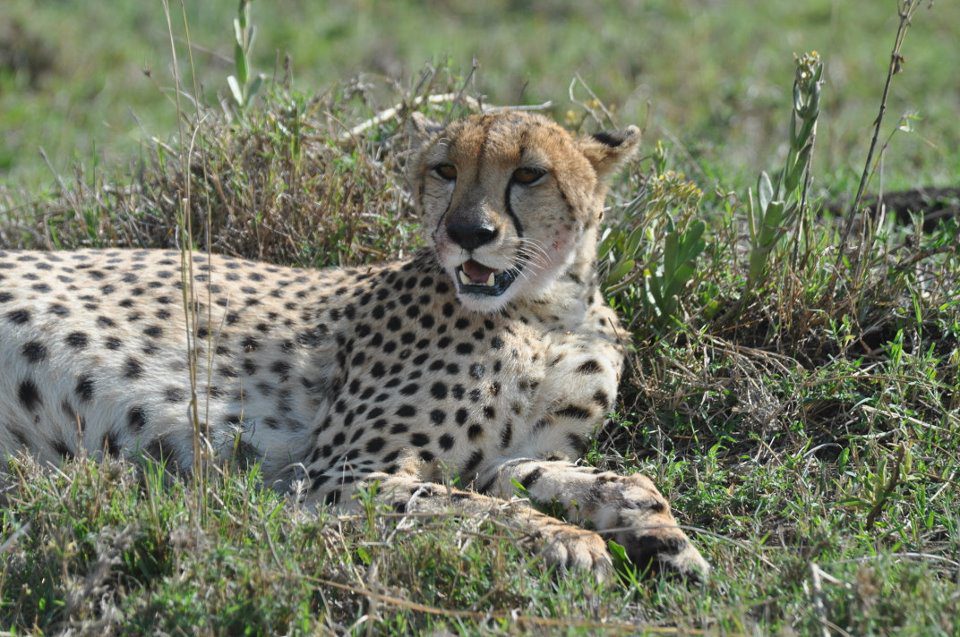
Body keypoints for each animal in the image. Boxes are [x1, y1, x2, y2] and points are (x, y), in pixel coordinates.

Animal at [0, 110, 709, 581]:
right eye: (446, 170)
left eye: (529, 174)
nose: (467, 233)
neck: (547, 307)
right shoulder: (338, 473)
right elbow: (472, 506)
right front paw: (568, 539)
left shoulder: (510, 455)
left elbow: (567, 476)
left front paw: (654, 527)